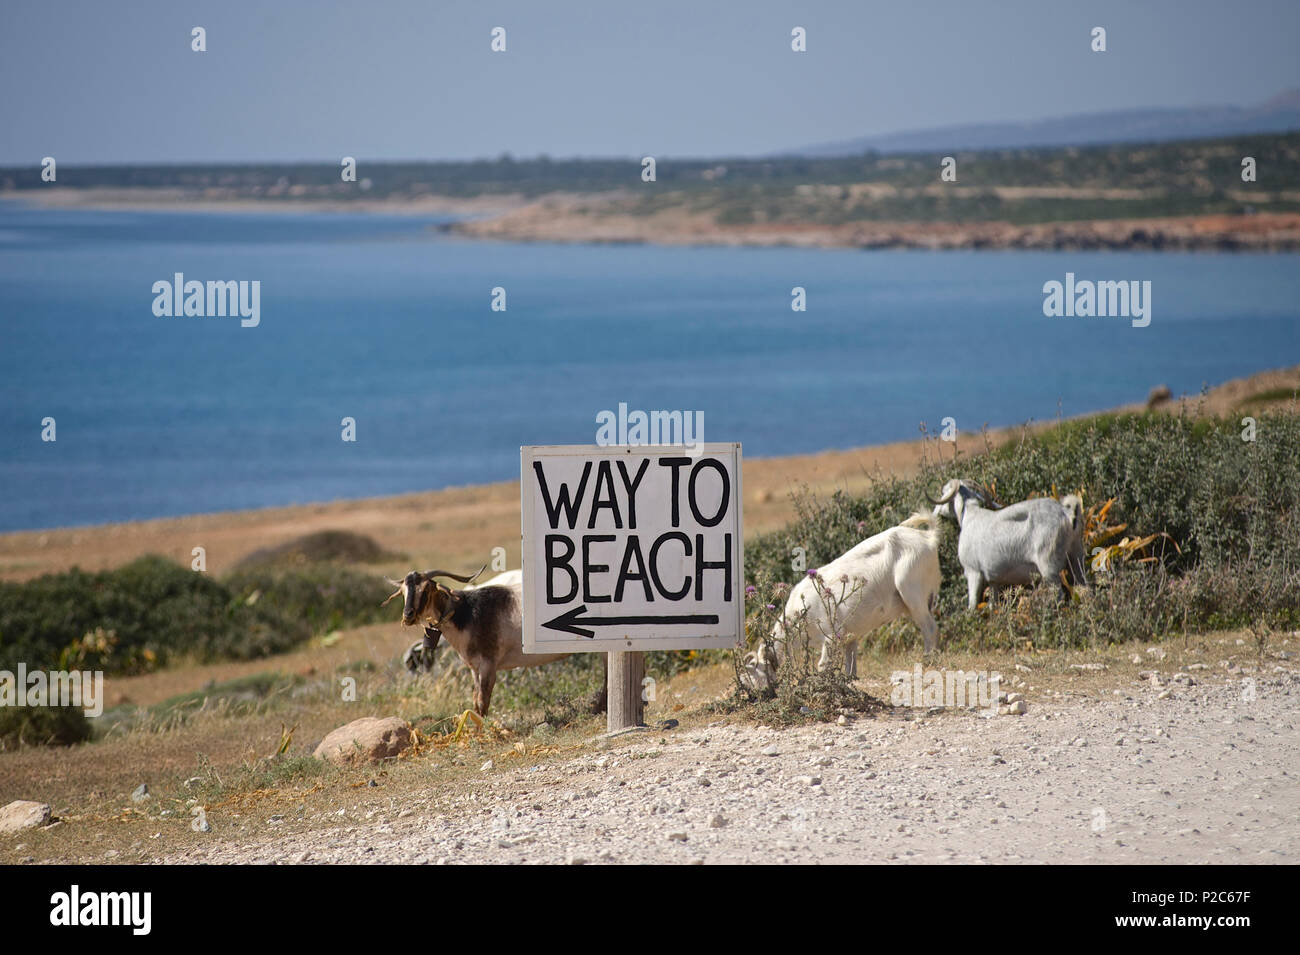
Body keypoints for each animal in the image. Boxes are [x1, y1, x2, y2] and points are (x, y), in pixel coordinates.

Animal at [384, 566, 567, 730]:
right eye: (402, 591)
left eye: (426, 588)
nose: (408, 615)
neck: (466, 614)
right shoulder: (474, 668)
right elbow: (475, 701)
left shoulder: (488, 664)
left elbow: (482, 700)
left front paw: (483, 731)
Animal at [744, 512, 944, 690]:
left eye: (755, 674)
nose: (760, 695)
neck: (799, 614)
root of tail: (929, 538)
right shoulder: (849, 636)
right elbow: (851, 664)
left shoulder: (831, 634)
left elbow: (823, 665)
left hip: (911, 590)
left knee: (929, 627)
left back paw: (927, 662)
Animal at [927, 478, 1086, 609]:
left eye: (943, 491)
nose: (938, 514)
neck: (969, 516)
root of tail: (1067, 514)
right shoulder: (993, 580)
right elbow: (993, 604)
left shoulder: (973, 572)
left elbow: (972, 606)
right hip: (1076, 555)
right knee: (1083, 585)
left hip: (1049, 565)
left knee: (1059, 595)